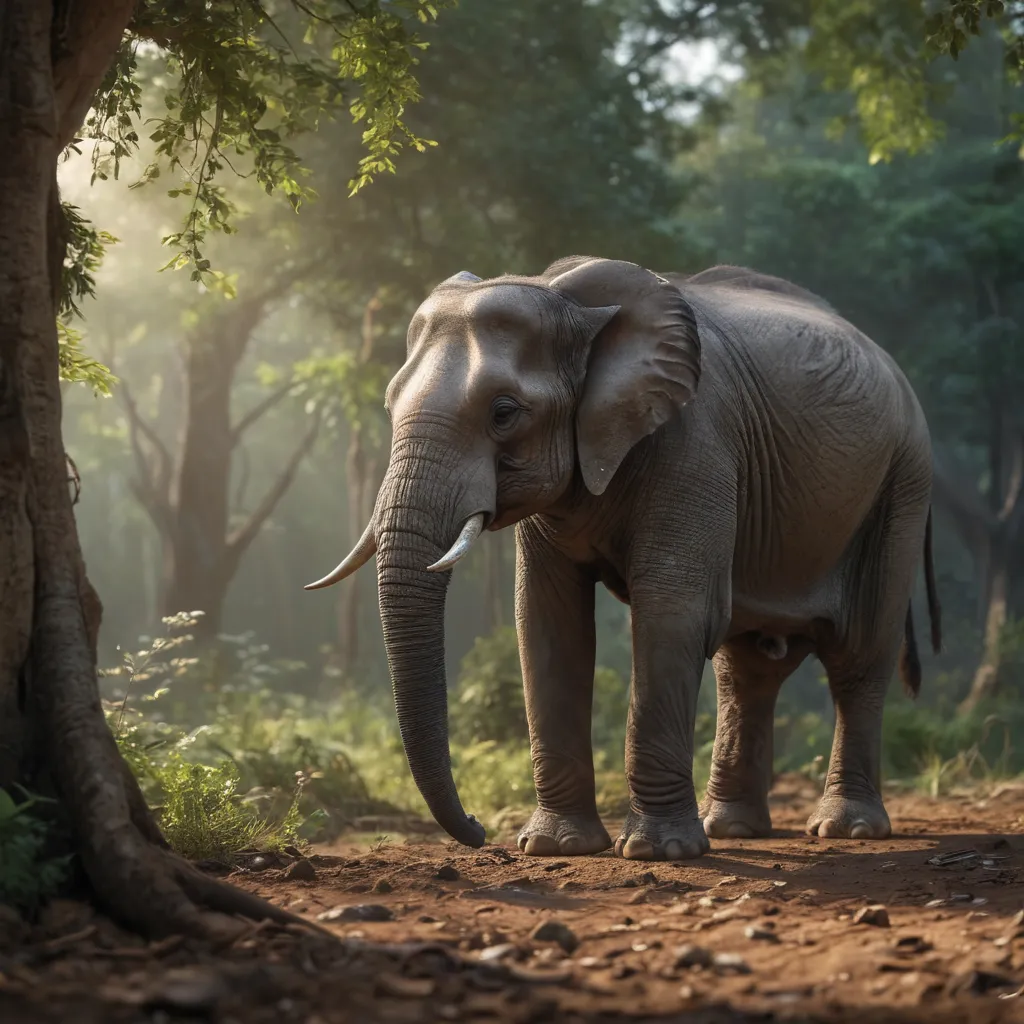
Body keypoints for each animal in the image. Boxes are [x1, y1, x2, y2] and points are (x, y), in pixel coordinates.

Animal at [306, 256, 942, 861]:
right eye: (389, 403)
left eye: (504, 412)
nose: (480, 829)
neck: (562, 292)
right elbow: (548, 624)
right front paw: (556, 846)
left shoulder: (696, 442)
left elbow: (672, 613)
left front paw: (659, 852)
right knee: (749, 669)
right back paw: (734, 828)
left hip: (902, 484)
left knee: (859, 654)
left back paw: (846, 829)